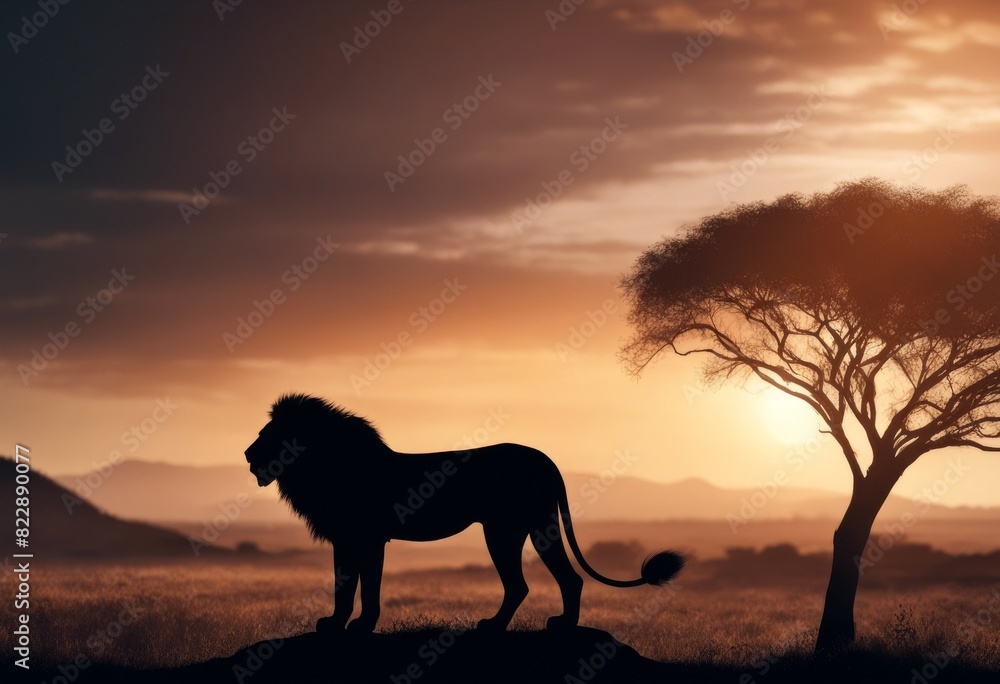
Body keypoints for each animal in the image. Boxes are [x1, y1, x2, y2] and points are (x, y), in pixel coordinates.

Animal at [244, 394, 683, 634]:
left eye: (267, 435)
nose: (247, 454)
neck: (322, 465)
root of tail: (544, 457)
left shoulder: (368, 537)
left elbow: (364, 588)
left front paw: (359, 626)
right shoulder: (347, 538)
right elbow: (345, 586)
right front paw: (337, 624)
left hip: (506, 531)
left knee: (540, 582)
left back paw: (533, 626)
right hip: (528, 527)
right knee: (546, 582)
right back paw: (520, 625)